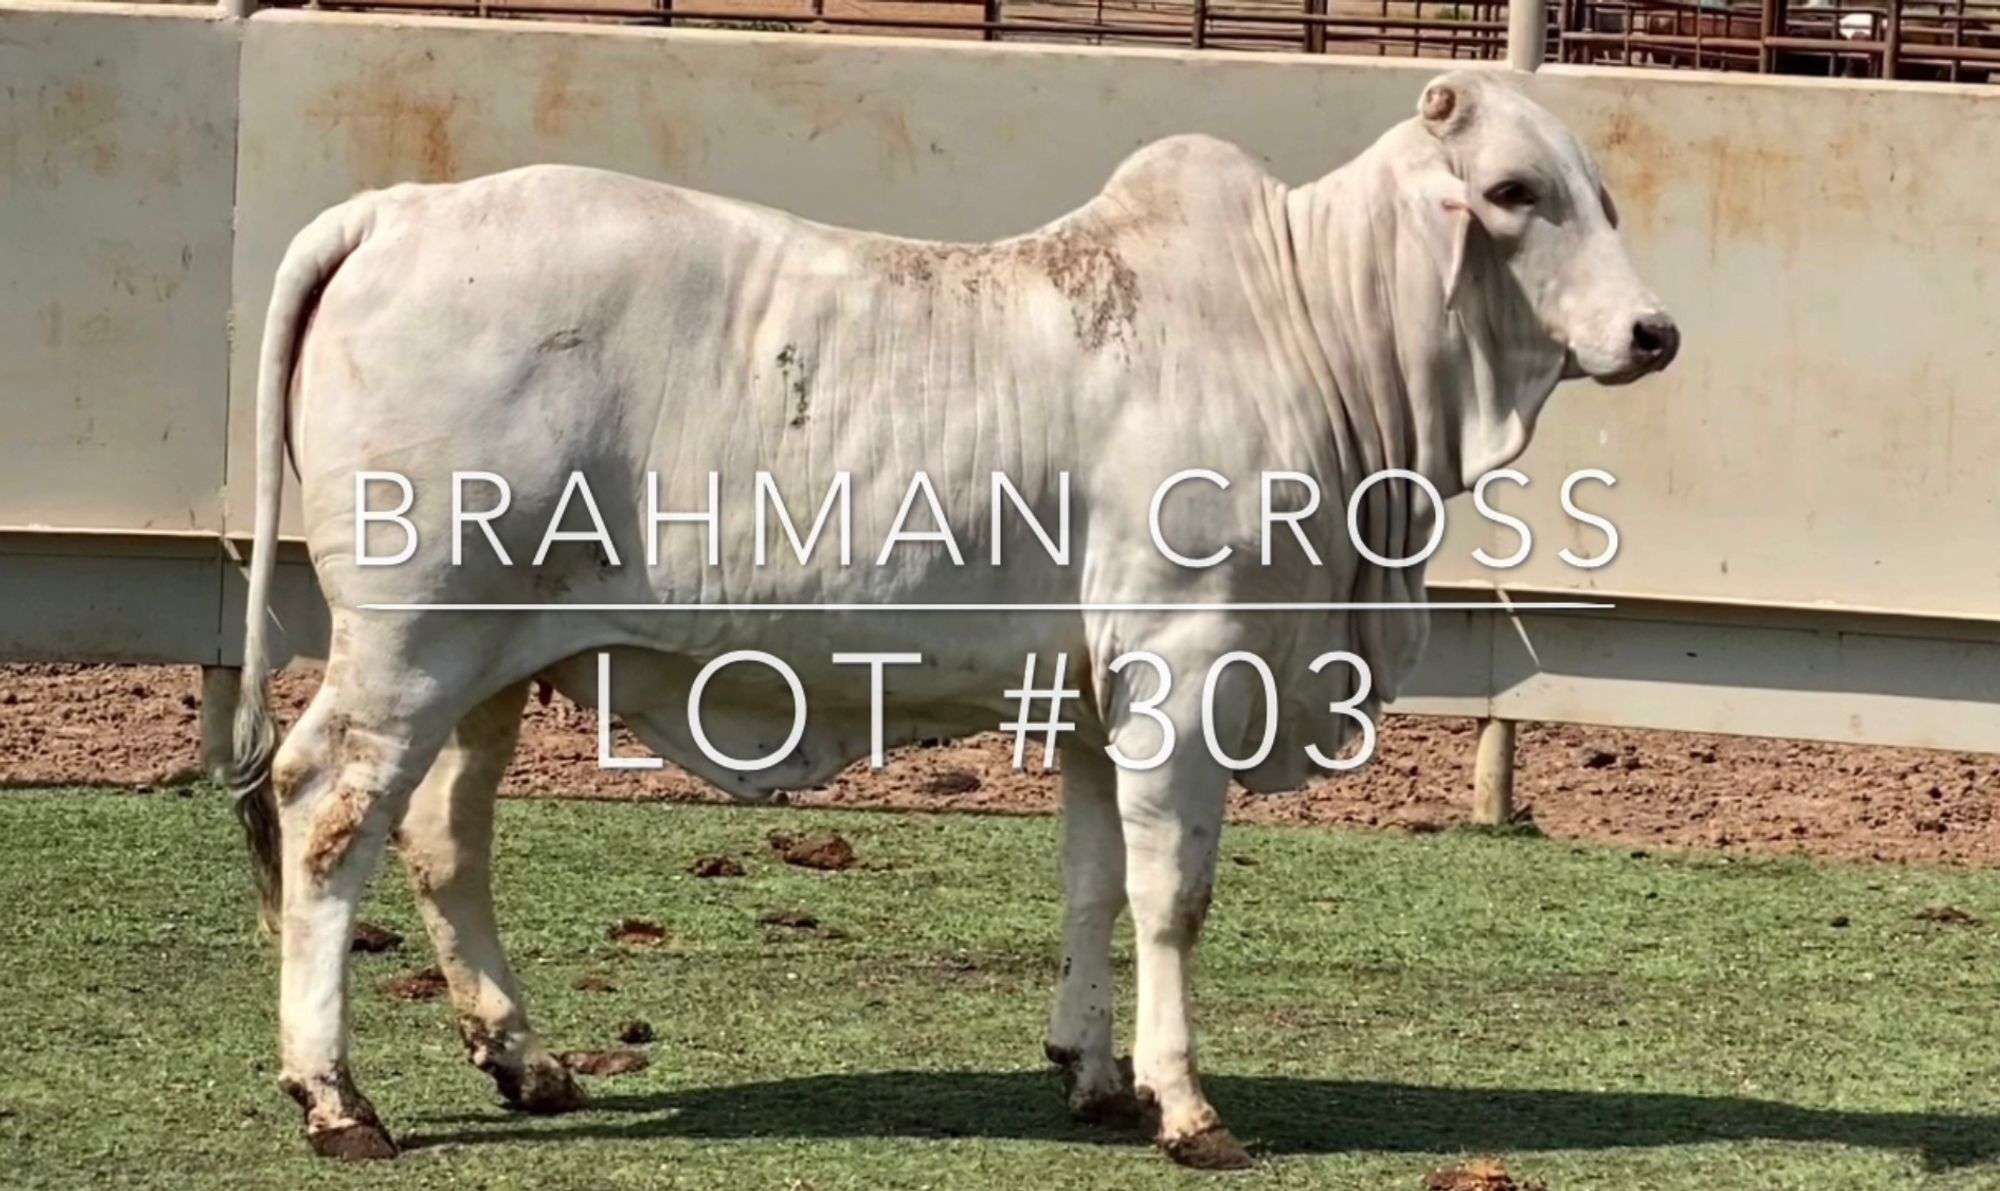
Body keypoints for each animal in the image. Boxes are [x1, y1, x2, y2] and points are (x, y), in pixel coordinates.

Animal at [229, 69, 1676, 1169]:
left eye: (1600, 195)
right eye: (1513, 193)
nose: (1653, 332)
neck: (1310, 330)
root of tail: (398, 210)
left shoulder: (1093, 701)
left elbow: (1094, 881)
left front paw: (1094, 1072)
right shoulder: (1186, 667)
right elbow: (1172, 893)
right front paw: (1188, 1105)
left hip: (495, 660)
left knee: (442, 838)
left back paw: (523, 1059)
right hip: (411, 642)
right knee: (326, 811)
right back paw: (335, 1097)